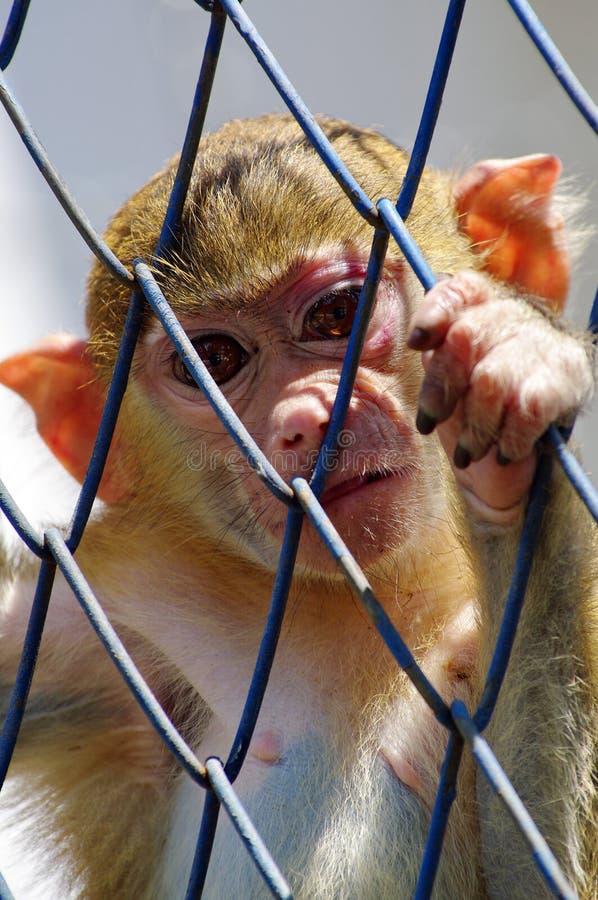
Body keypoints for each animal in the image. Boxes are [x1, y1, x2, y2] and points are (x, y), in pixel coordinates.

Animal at [0, 114, 595, 899]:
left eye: (337, 313)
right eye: (214, 361)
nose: (304, 420)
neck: (361, 599)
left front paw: (513, 390)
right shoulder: (111, 619)